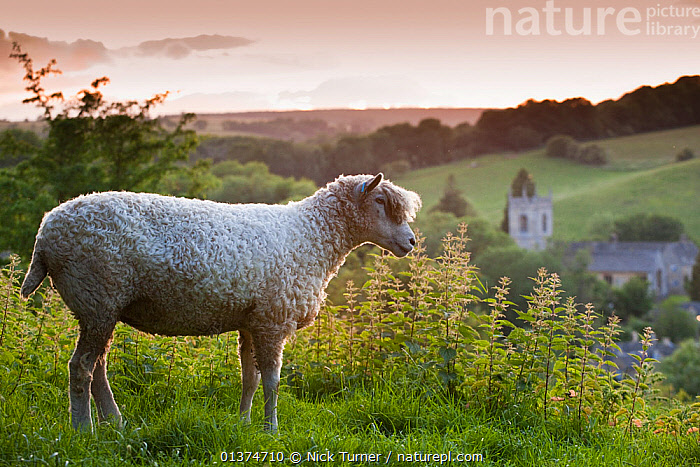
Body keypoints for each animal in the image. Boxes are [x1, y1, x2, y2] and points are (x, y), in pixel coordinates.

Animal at [20, 173, 421, 432]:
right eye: (380, 201)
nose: (412, 242)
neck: (313, 237)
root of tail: (45, 233)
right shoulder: (273, 319)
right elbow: (273, 380)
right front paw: (271, 429)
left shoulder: (252, 320)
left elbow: (250, 378)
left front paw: (244, 423)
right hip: (97, 298)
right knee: (80, 368)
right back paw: (83, 430)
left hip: (100, 307)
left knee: (97, 368)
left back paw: (115, 423)